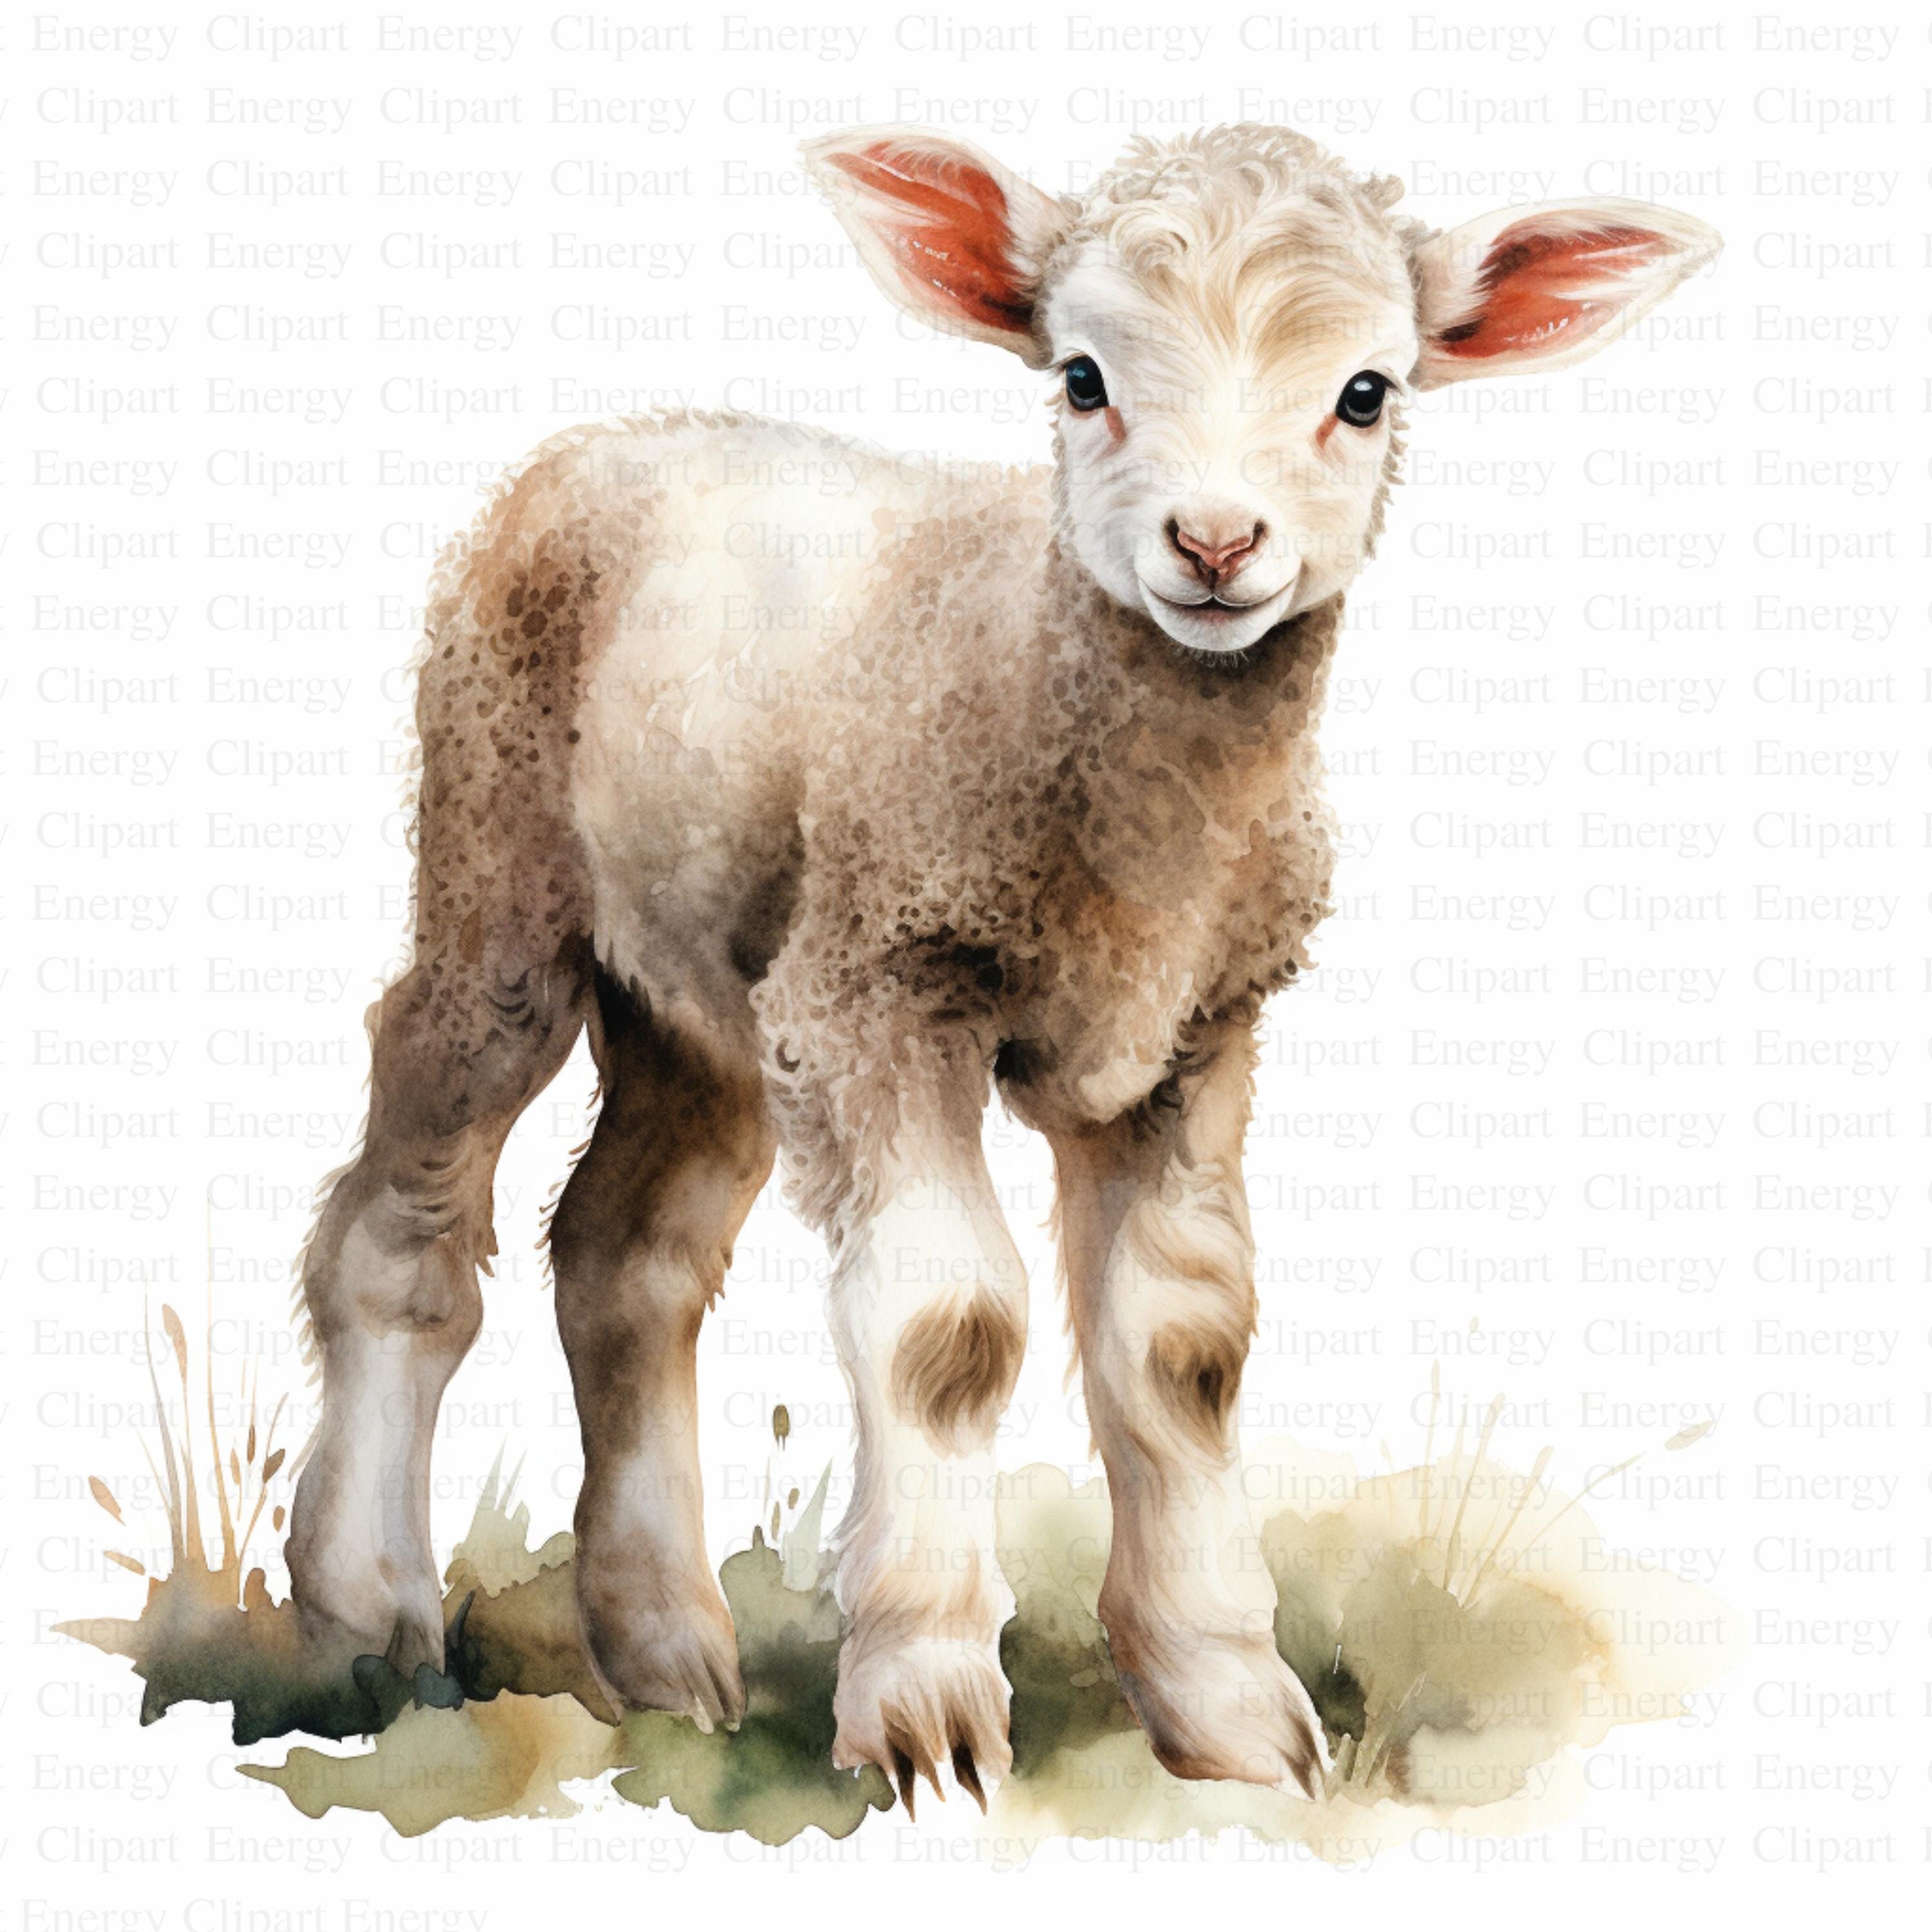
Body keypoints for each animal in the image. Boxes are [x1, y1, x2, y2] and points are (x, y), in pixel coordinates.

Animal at [286, 123, 1719, 1812]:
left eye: (1366, 392)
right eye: (1082, 377)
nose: (1216, 545)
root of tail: (612, 439)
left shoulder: (1191, 1031)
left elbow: (1183, 1345)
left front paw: (1231, 1713)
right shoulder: (893, 979)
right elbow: (947, 1329)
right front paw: (924, 1707)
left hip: (718, 987)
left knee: (625, 1256)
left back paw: (668, 1655)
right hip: (504, 866)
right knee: (404, 1220)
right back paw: (368, 1616)